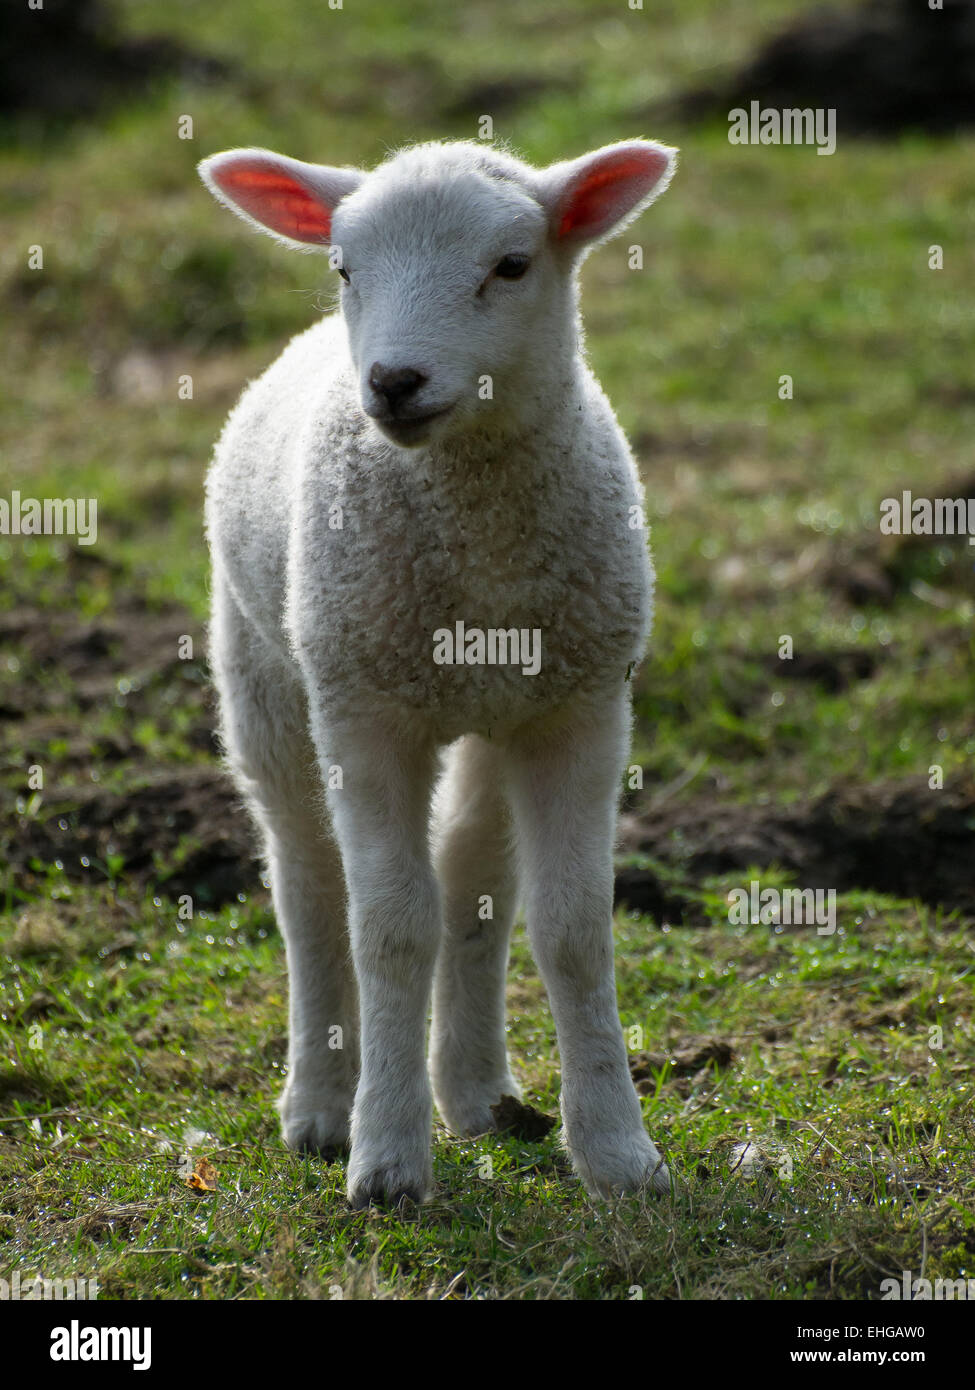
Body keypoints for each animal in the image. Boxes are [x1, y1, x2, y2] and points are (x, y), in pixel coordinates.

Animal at [198, 136, 677, 1207]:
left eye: (511, 265)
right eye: (344, 269)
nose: (393, 381)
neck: (480, 542)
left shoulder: (580, 707)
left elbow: (572, 926)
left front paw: (617, 1152)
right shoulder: (364, 711)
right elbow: (389, 926)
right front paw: (385, 1159)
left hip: (495, 708)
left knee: (470, 877)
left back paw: (477, 1091)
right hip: (268, 677)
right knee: (308, 884)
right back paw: (322, 1104)